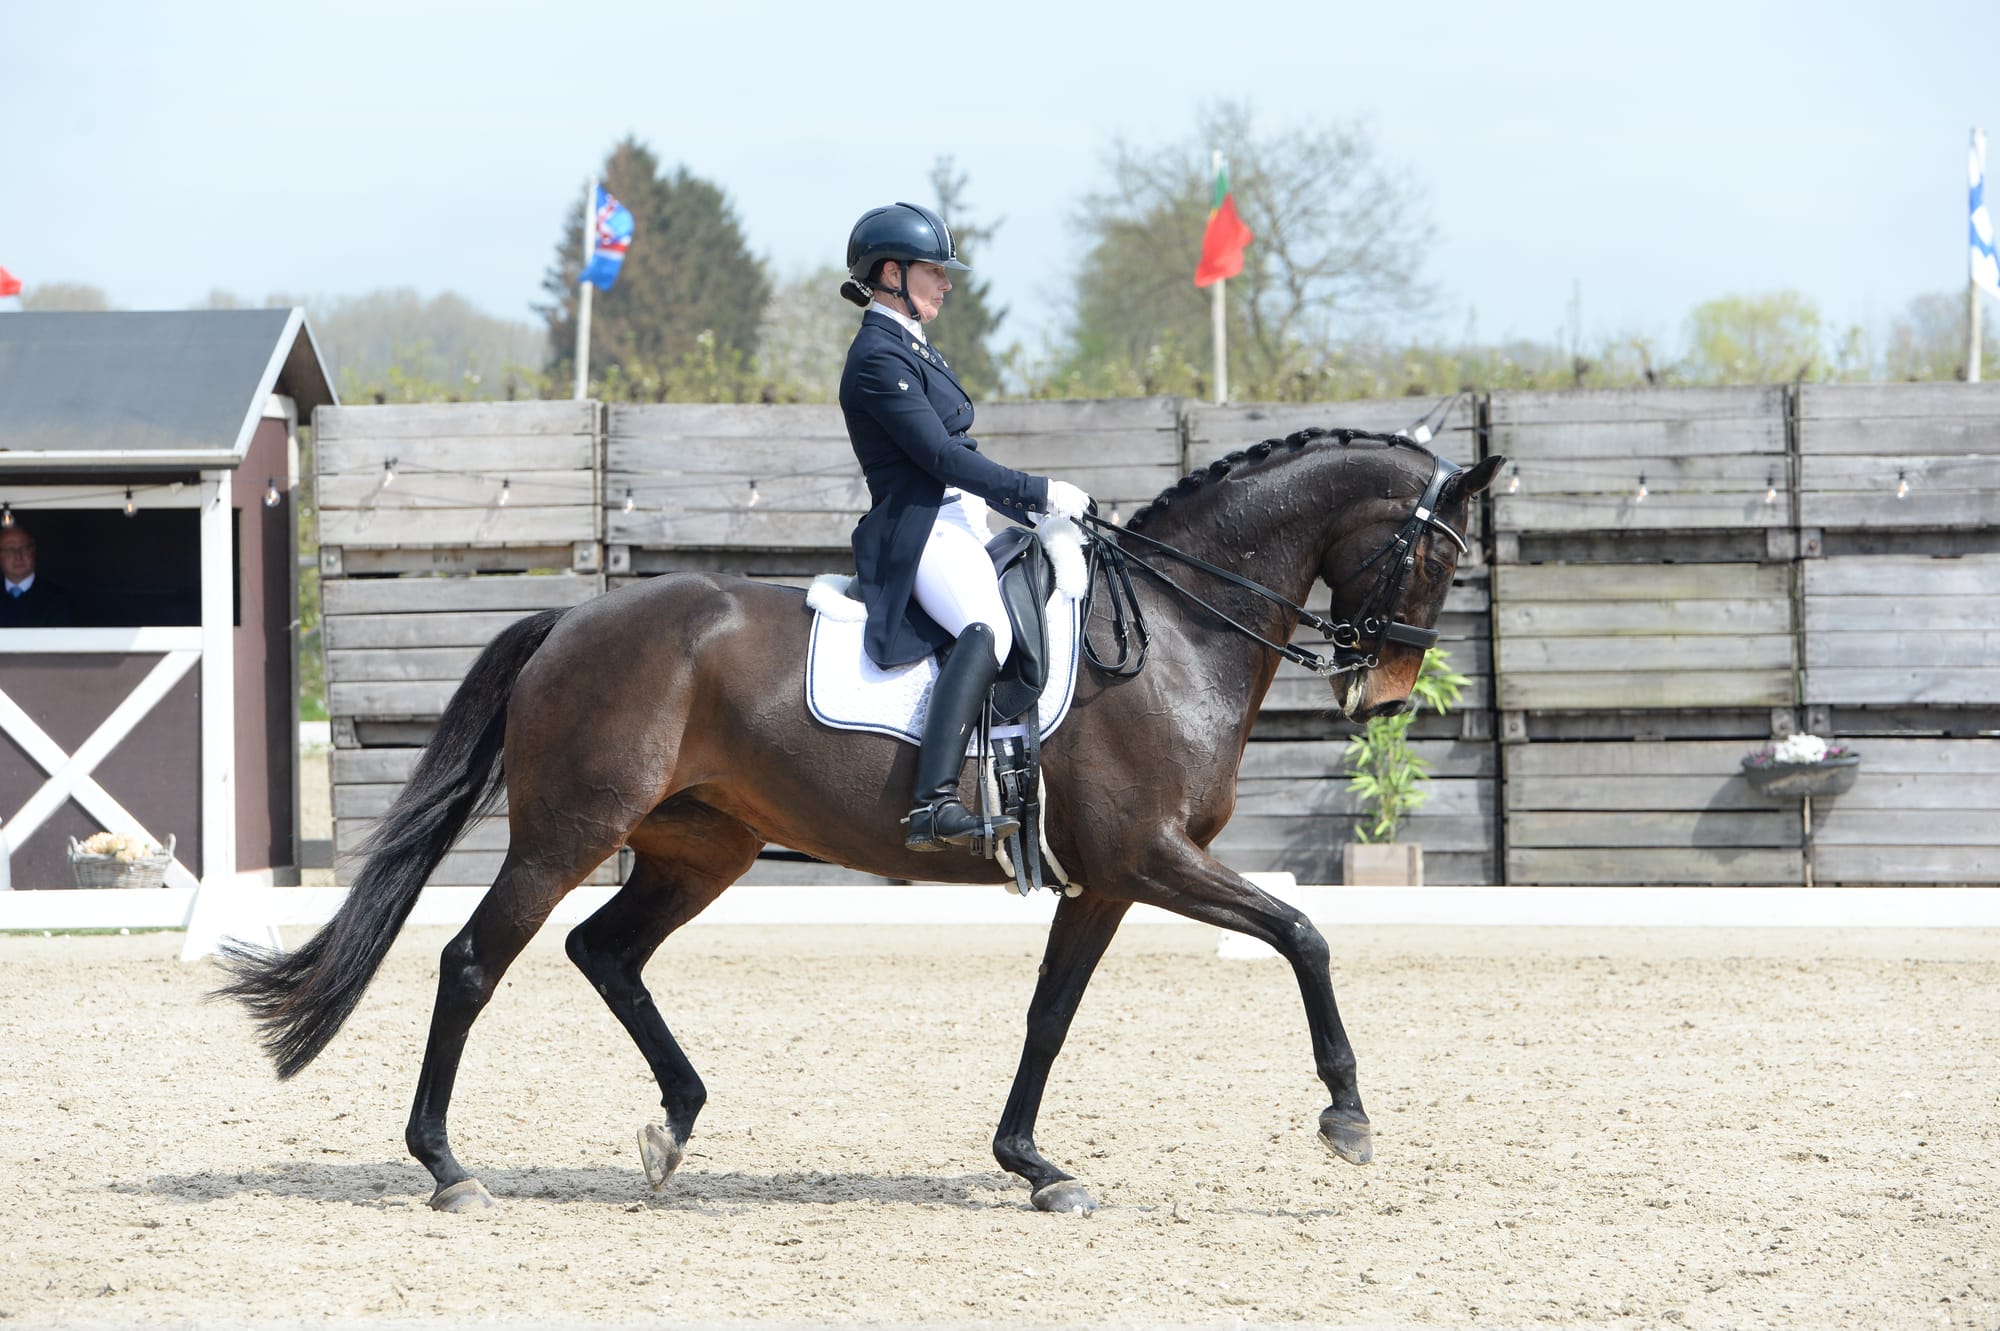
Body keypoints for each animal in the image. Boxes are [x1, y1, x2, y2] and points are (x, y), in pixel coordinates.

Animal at [219, 428, 1503, 1215]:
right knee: (475, 958)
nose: (1388, 692)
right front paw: (1346, 1115)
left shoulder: (1103, 878)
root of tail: (570, 622)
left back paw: (672, 1124)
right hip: (565, 832)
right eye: (1435, 555)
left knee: (605, 951)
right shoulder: (1151, 857)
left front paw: (1034, 1166)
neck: (1175, 626)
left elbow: (1049, 1015)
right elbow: (1302, 933)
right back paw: (447, 1165)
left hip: (703, 844)